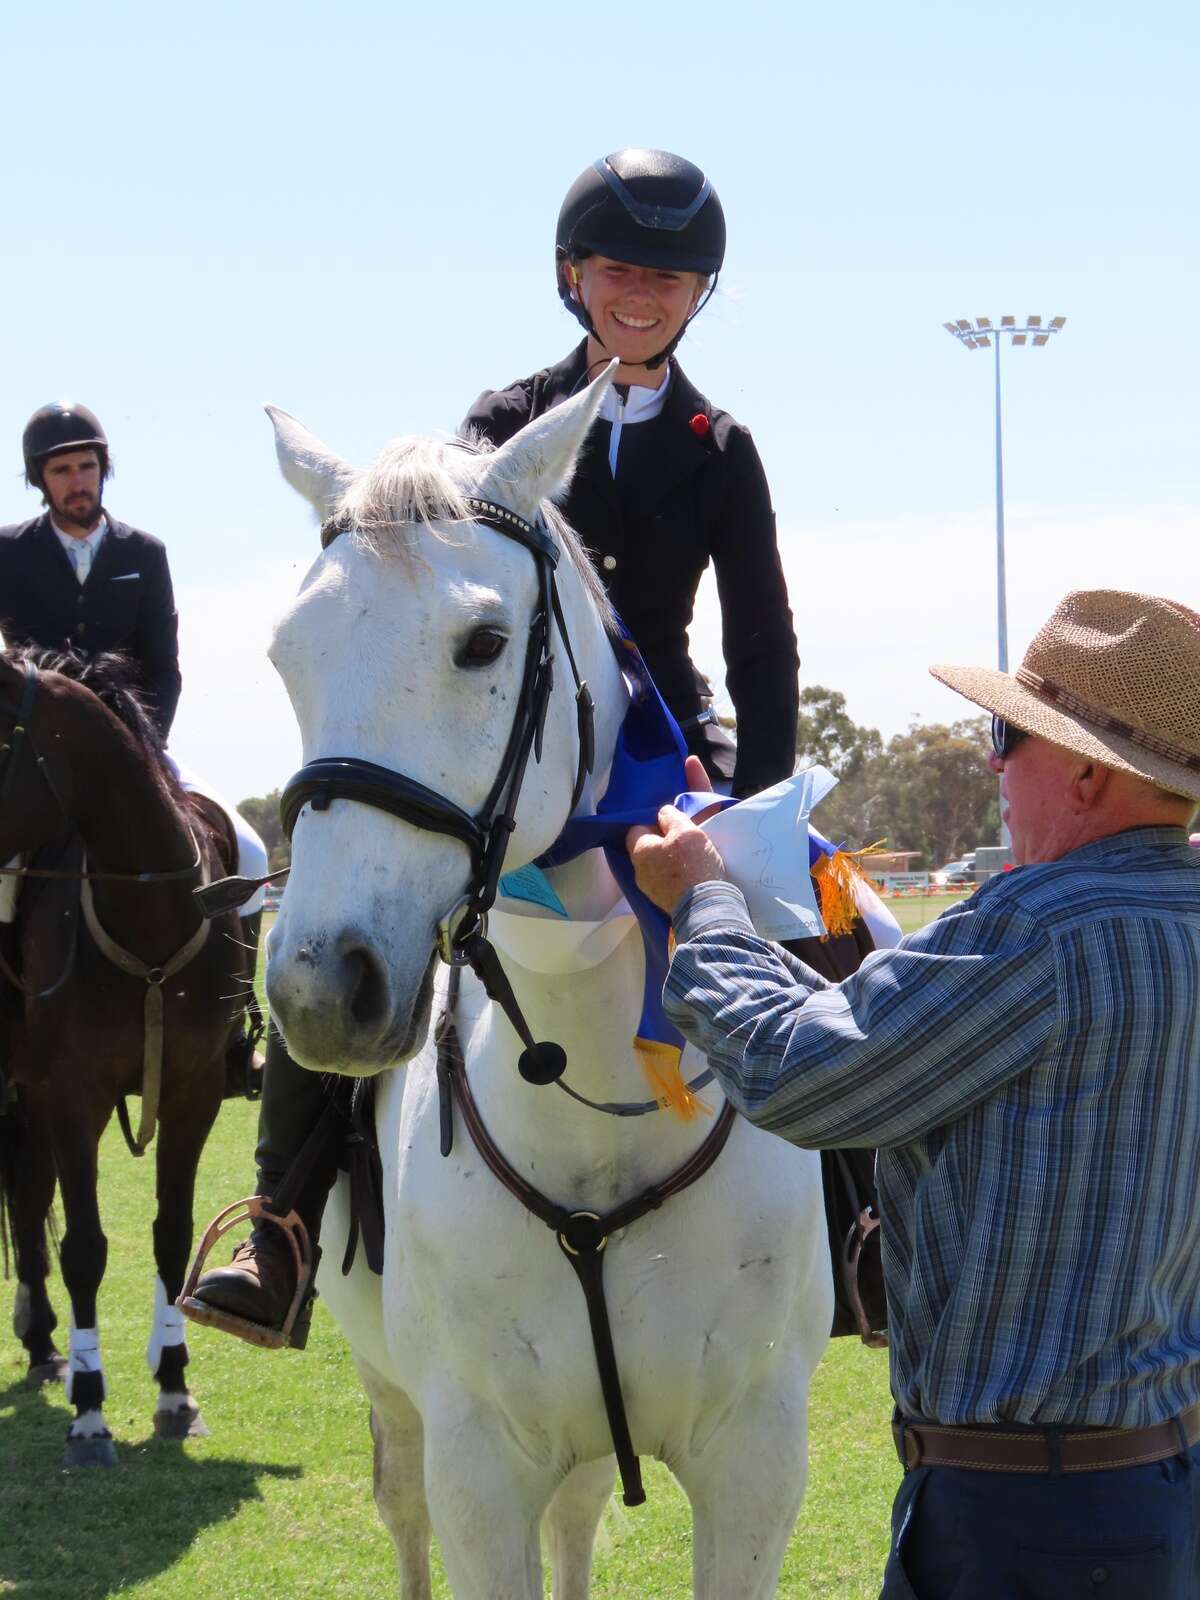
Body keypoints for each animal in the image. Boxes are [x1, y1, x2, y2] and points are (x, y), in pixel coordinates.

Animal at [0, 649, 248, 1465]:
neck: (147, 917)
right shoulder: (70, 1094)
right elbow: (84, 1247)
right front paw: (88, 1410)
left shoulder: (193, 1092)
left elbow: (172, 1235)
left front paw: (173, 1386)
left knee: (26, 1188)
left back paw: (46, 1343)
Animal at [260, 373, 832, 1598]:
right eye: (289, 654)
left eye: (483, 641)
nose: (322, 989)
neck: (600, 1104)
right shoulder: (480, 1469)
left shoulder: (756, 1461)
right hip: (398, 1408)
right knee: (405, 1517)